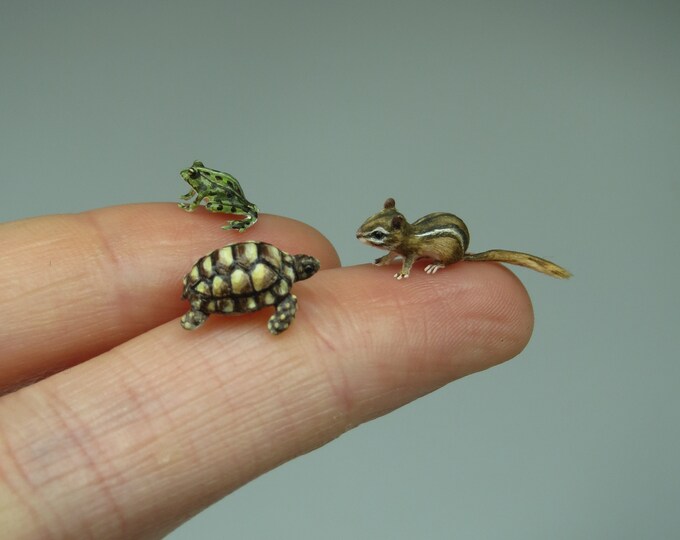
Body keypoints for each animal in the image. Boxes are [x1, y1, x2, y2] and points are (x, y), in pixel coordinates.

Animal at [356, 198, 571, 280]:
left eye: (378, 234)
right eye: (369, 218)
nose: (357, 234)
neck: (408, 234)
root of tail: (463, 254)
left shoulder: (410, 252)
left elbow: (407, 262)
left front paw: (402, 273)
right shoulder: (396, 249)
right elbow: (390, 255)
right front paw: (380, 261)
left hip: (449, 252)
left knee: (450, 262)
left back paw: (436, 265)